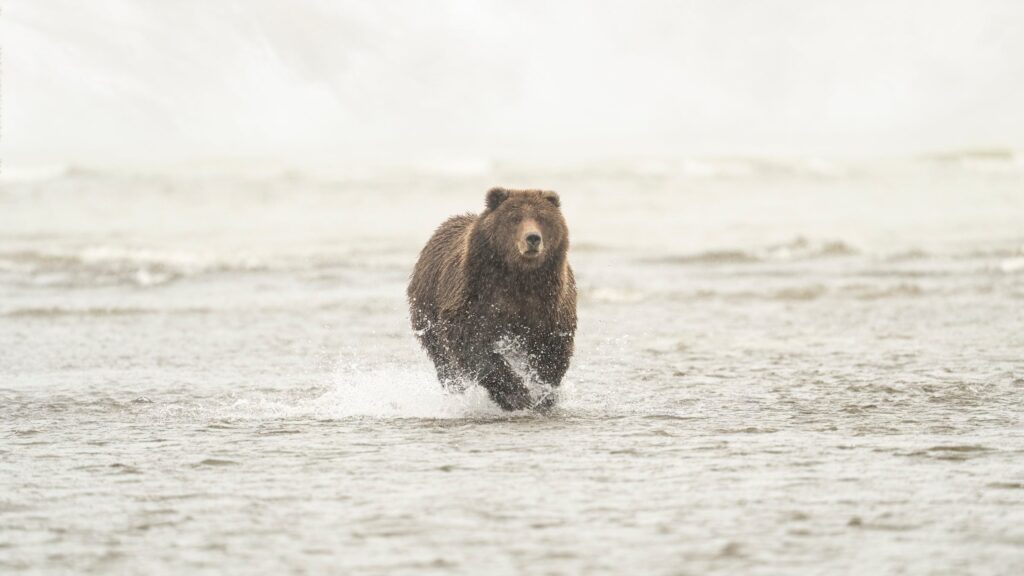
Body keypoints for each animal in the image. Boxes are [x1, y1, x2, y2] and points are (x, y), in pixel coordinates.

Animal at [407, 187, 577, 411]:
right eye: (514, 218)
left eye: (542, 218)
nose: (533, 238)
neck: (520, 277)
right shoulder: (477, 294)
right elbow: (472, 343)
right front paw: (517, 394)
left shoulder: (549, 303)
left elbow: (551, 349)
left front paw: (542, 394)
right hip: (427, 309)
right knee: (444, 361)